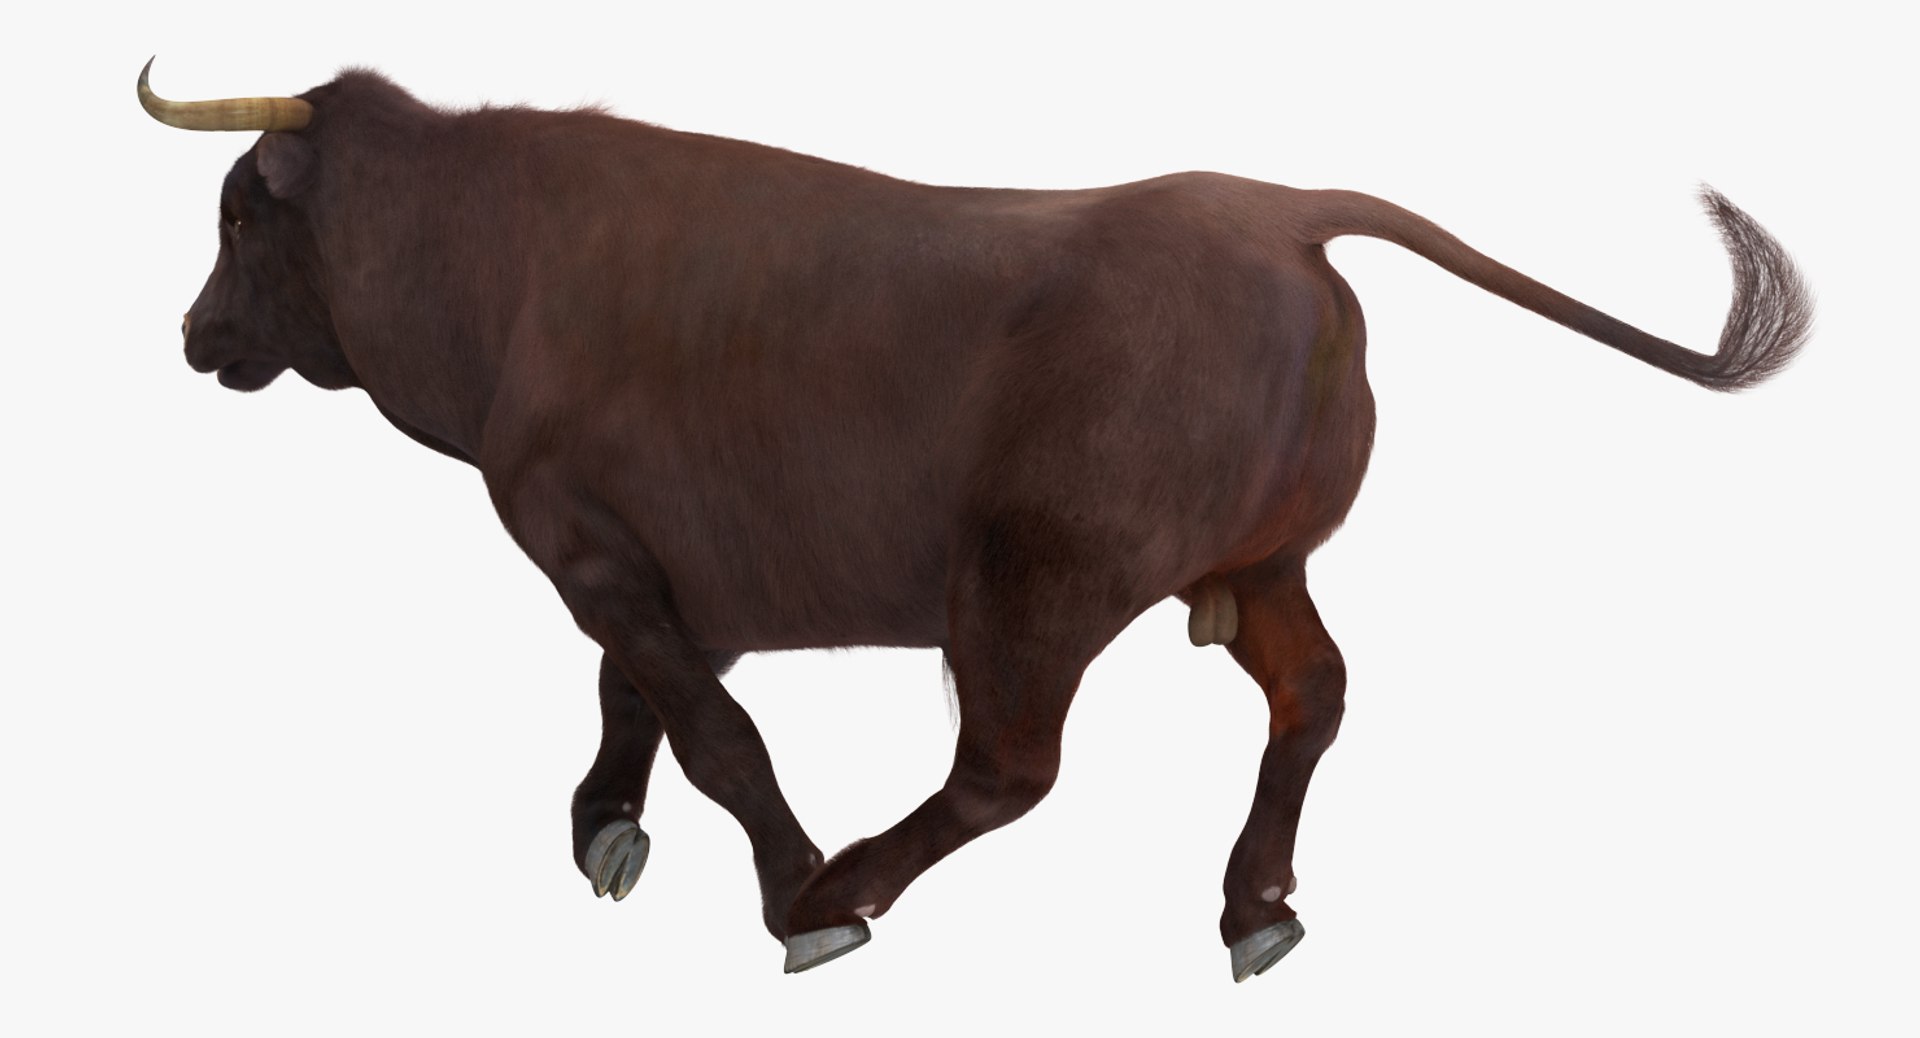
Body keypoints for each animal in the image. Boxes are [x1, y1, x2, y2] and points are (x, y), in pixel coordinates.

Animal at [138, 58, 1811, 982]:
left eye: (234, 212)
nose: (195, 335)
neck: (494, 260)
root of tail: (1276, 207)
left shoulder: (589, 543)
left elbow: (711, 729)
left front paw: (789, 890)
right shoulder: (651, 565)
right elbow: (644, 700)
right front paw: (606, 824)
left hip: (1034, 587)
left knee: (1012, 765)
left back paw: (850, 886)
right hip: (1259, 561)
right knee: (1313, 695)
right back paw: (1253, 906)